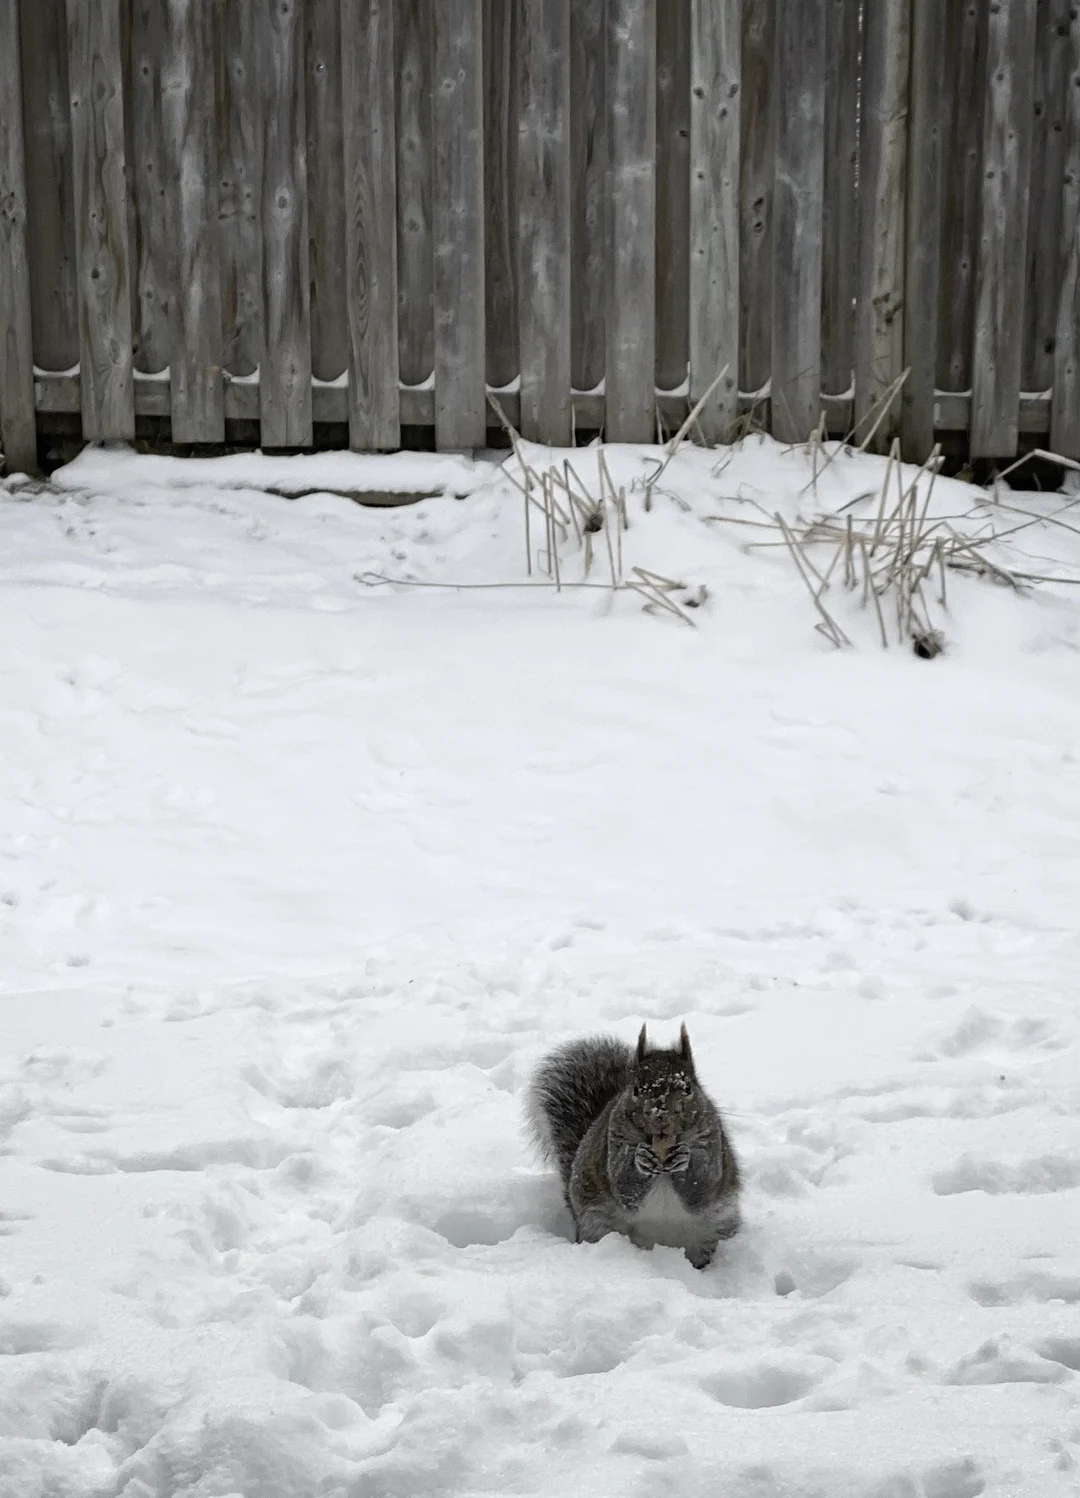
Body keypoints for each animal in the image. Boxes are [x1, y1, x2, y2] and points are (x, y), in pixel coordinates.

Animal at [525, 1023, 741, 1269]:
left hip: (715, 1230)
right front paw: (640, 1160)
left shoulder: (712, 1141)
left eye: (688, 1088)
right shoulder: (612, 1143)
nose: (661, 1116)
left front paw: (684, 1158)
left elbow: (703, 1184)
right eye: (636, 1089)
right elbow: (624, 1184)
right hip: (596, 1225)